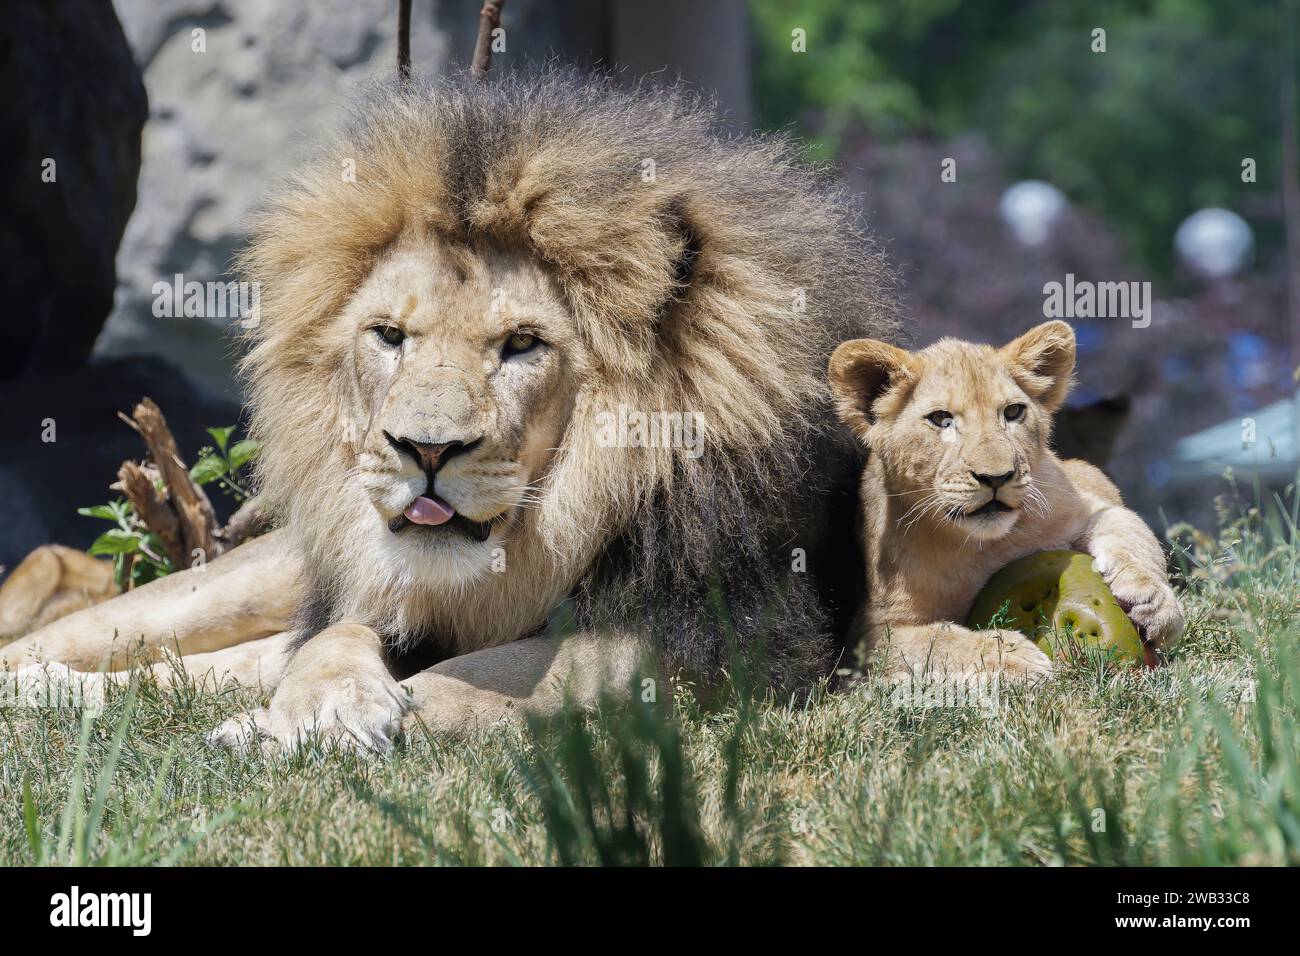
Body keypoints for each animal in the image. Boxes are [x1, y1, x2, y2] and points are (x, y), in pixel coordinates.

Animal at [1, 69, 893, 749]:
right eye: (391, 336)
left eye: (523, 344)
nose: (424, 451)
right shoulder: (368, 597)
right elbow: (335, 637)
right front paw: (321, 708)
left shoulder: (731, 638)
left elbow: (507, 674)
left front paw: (288, 725)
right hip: (230, 583)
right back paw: (41, 685)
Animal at [827, 320, 1184, 681]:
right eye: (941, 419)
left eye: (1013, 412)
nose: (996, 477)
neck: (982, 546)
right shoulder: (869, 638)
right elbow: (936, 643)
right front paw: (1013, 659)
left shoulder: (1084, 500)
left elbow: (1128, 527)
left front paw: (1153, 601)